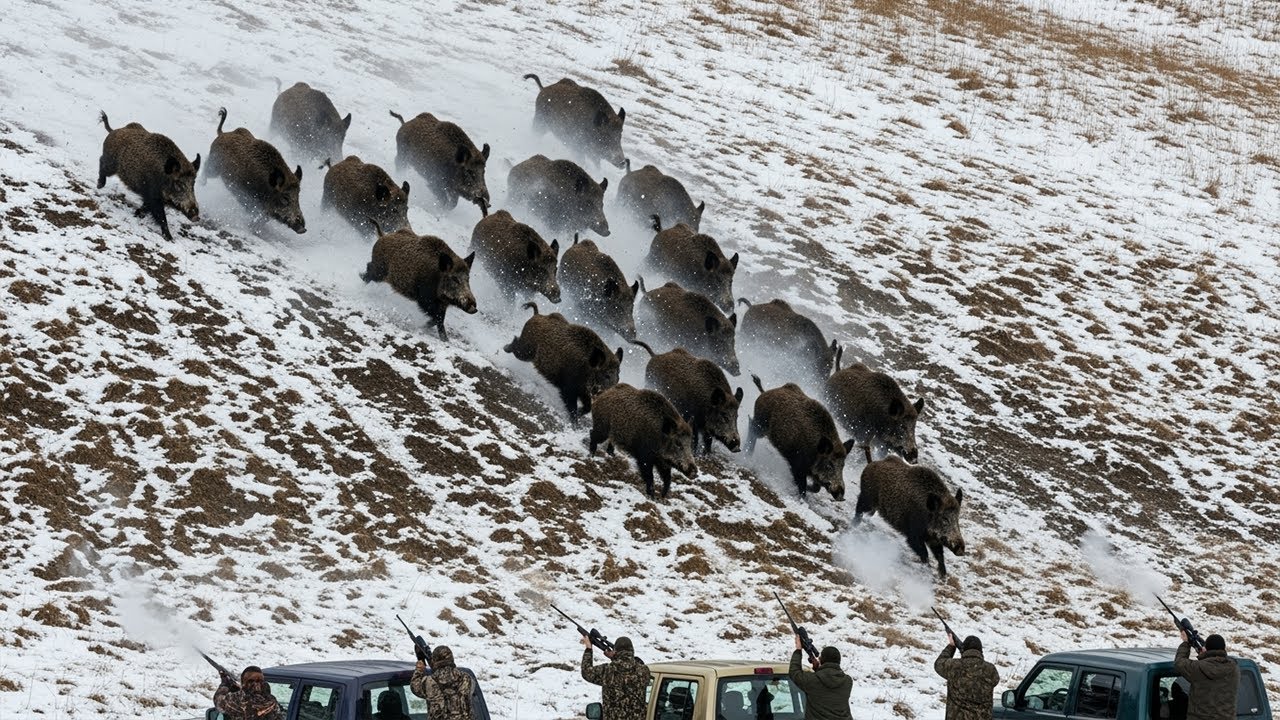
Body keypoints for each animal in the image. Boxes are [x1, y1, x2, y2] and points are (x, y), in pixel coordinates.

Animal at [96, 111, 201, 241]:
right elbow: (161, 216)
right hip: (111, 164)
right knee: (101, 162)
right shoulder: (153, 195)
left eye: (193, 183)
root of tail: (114, 131)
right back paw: (99, 185)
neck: (163, 177)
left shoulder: (151, 197)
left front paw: (137, 213)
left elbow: (146, 207)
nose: (196, 216)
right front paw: (170, 238)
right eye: (178, 183)